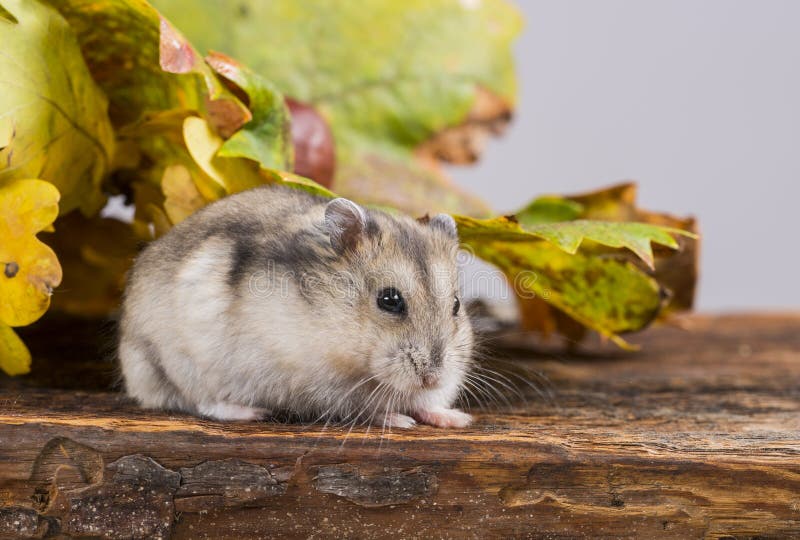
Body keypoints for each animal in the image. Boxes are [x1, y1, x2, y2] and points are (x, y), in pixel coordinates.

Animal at [119, 185, 474, 429]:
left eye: (456, 304)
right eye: (389, 300)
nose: (433, 379)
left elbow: (425, 404)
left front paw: (457, 418)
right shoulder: (319, 386)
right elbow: (364, 405)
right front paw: (401, 420)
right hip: (178, 366)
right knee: (202, 403)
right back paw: (253, 412)